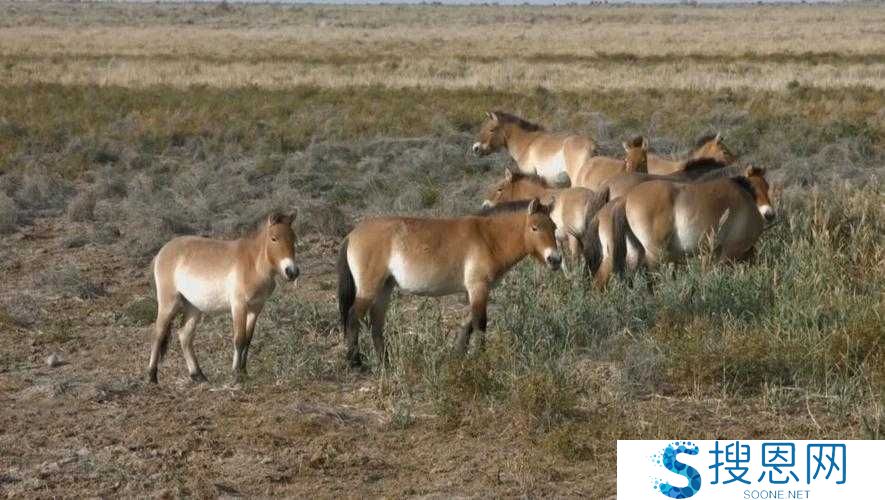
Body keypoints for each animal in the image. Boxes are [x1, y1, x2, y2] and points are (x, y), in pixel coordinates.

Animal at [147, 212, 299, 384]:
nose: (292, 272)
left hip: (193, 308)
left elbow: (248, 340)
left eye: (293, 238)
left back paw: (198, 376)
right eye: (274, 238)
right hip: (168, 303)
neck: (254, 263)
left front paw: (244, 371)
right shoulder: (239, 306)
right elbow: (239, 339)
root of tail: (162, 252)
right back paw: (152, 376)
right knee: (158, 334)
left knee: (185, 336)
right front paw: (236, 373)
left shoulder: (255, 309)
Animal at [338, 198, 561, 369]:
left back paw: (386, 363)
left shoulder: (478, 290)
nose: (555, 260)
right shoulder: (478, 287)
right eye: (535, 227)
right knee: (353, 317)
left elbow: (469, 322)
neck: (488, 237)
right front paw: (480, 358)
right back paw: (355, 363)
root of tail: (352, 234)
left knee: (376, 324)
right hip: (369, 289)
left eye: (554, 227)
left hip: (384, 288)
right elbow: (480, 323)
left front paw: (458, 353)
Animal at [482, 169, 610, 275]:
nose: (484, 206)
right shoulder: (556, 239)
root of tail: (593, 198)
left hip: (575, 239)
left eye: (500, 189)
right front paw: (566, 275)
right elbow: (562, 257)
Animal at [583, 166, 775, 289]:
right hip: (653, 255)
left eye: (767, 186)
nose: (770, 214)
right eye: (754, 187)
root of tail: (625, 198)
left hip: (631, 254)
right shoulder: (726, 252)